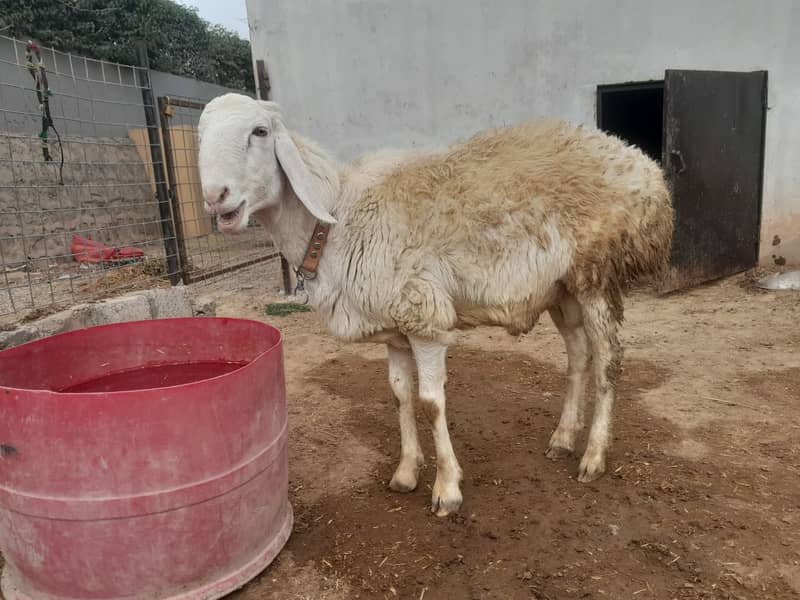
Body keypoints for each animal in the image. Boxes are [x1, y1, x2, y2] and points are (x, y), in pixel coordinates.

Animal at [197, 93, 674, 517]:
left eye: (259, 132)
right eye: (200, 135)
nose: (215, 196)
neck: (337, 221)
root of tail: (647, 169)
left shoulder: (424, 315)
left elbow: (430, 403)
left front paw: (447, 489)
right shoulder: (394, 328)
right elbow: (399, 395)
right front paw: (407, 471)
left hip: (597, 275)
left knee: (609, 362)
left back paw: (593, 456)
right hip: (562, 288)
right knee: (577, 356)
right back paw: (562, 438)